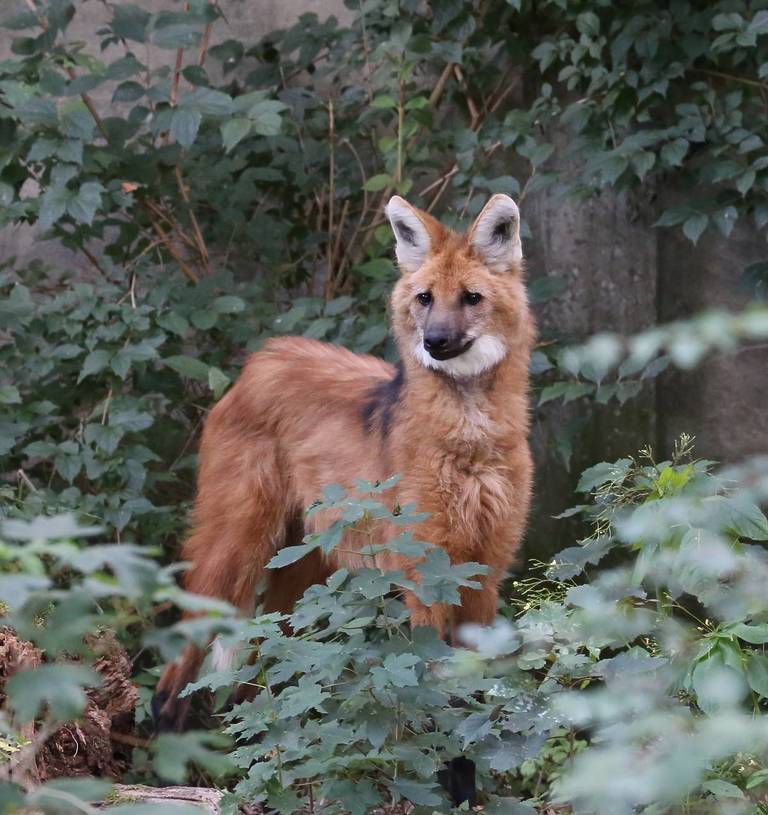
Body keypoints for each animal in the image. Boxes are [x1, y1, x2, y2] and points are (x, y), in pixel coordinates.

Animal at [153, 193, 535, 731]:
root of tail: (259, 360)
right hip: (237, 548)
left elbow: (473, 687)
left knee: (260, 675)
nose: (434, 342)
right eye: (425, 299)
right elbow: (432, 680)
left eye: (471, 298)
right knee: (178, 674)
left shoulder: (483, 569)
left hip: (305, 565)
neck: (470, 436)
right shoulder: (425, 573)